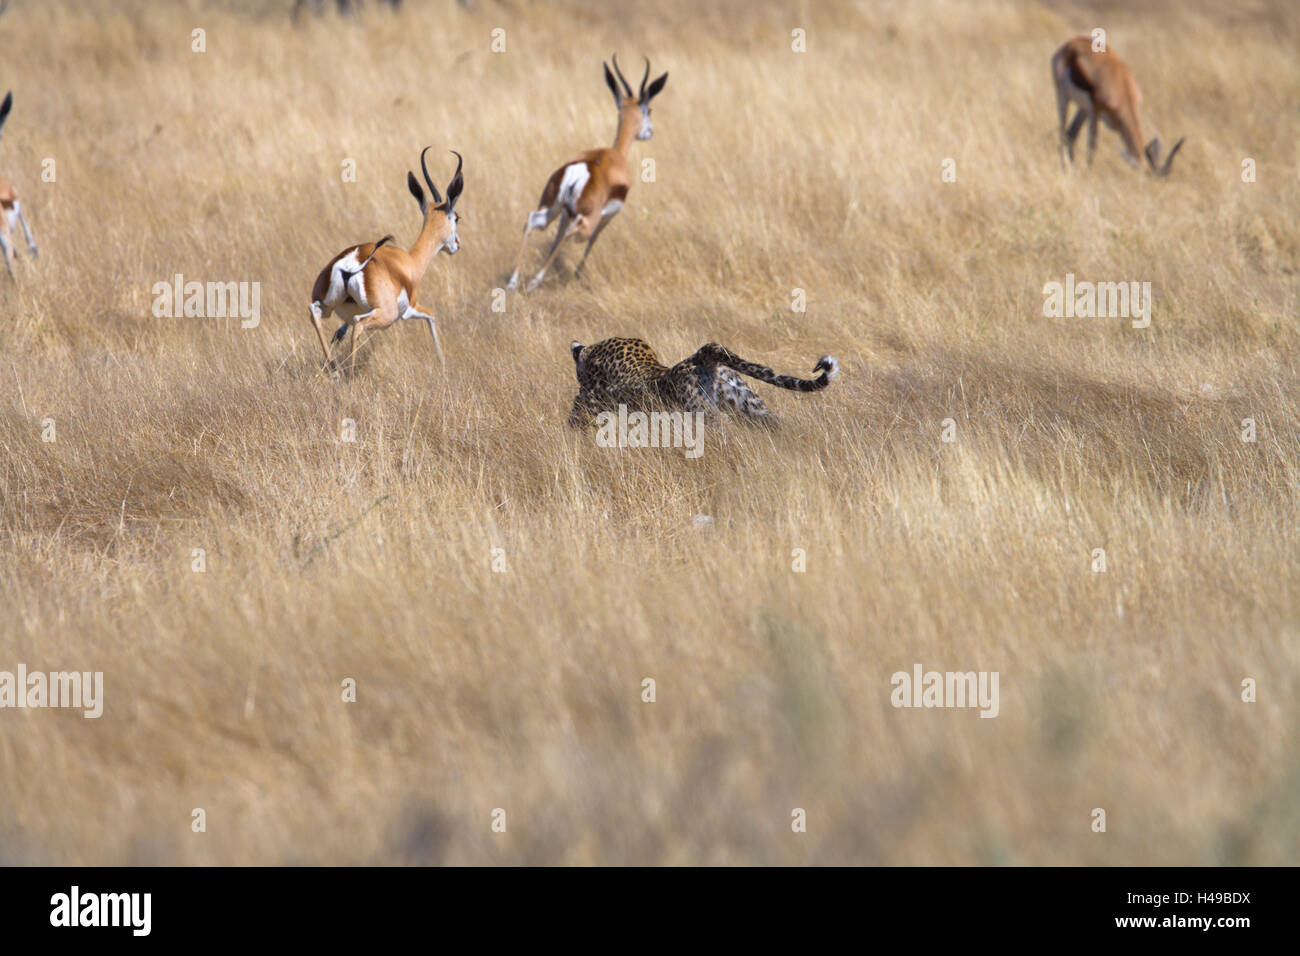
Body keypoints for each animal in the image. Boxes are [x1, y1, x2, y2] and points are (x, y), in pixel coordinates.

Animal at [567, 337, 838, 426]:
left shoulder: (587, 403)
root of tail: (703, 355)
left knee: (724, 425)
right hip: (753, 407)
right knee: (775, 423)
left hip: (702, 410)